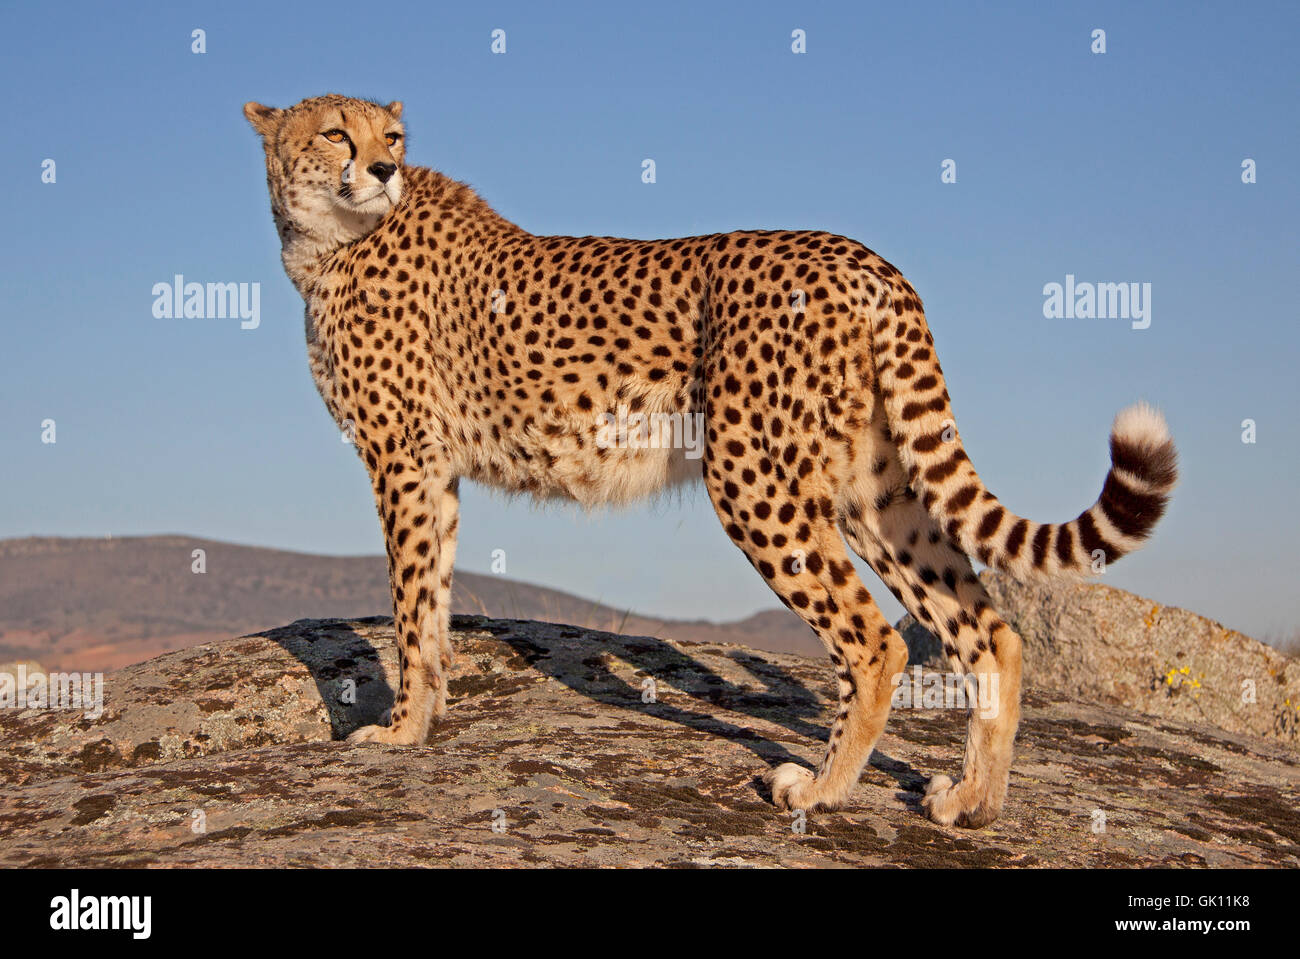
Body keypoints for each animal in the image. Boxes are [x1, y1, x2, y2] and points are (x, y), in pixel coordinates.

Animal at [244, 94, 1177, 828]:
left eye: (392, 137)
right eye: (336, 132)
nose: (383, 169)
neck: (332, 240)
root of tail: (868, 260)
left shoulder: (402, 458)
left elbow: (409, 607)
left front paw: (397, 731)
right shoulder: (432, 470)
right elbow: (431, 603)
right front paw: (426, 719)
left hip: (753, 475)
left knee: (877, 640)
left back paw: (820, 790)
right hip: (871, 489)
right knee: (988, 630)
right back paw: (973, 801)